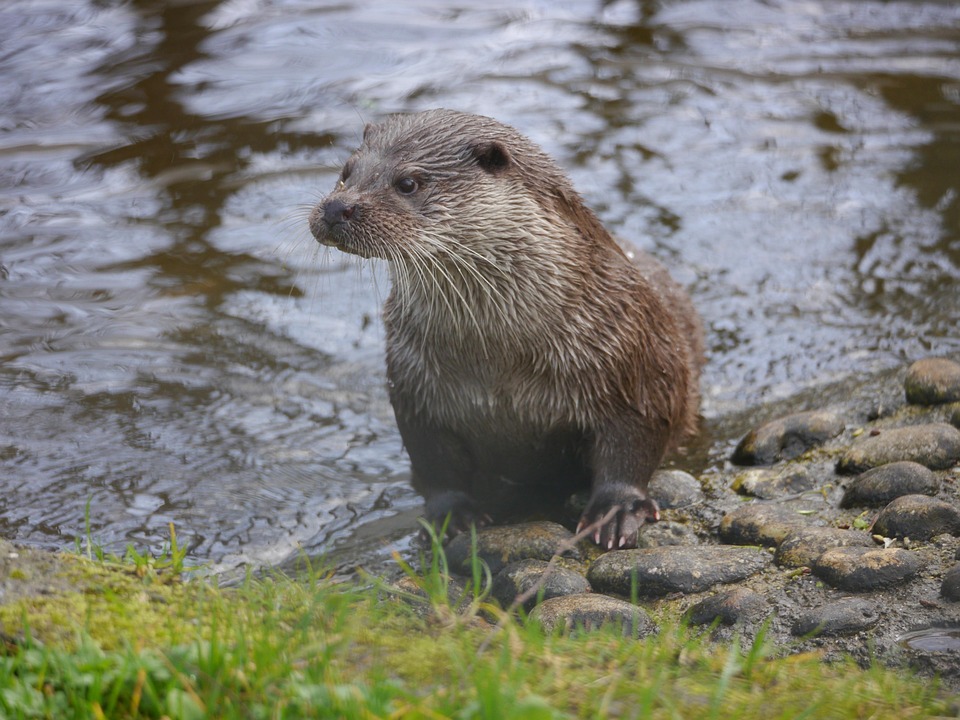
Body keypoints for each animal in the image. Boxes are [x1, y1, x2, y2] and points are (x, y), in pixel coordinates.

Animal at [309, 109, 703, 550]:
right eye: (346, 172)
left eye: (408, 183)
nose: (337, 206)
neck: (499, 359)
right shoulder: (414, 388)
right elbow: (434, 463)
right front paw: (451, 516)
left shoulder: (635, 366)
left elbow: (630, 450)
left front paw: (615, 512)